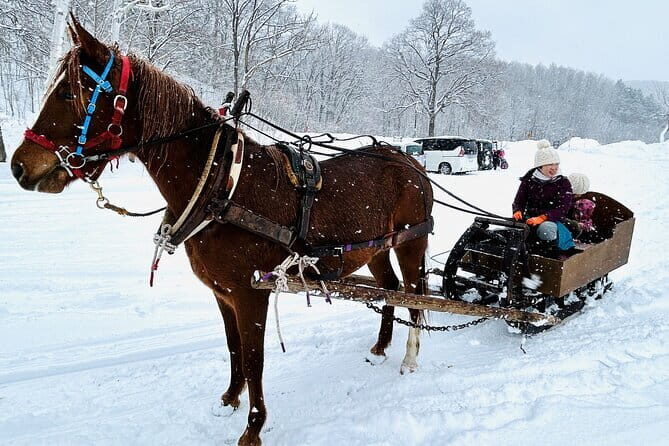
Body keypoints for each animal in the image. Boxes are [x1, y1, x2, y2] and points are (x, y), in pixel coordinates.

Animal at [10, 18, 433, 446]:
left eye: (68, 92)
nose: (17, 166)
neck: (220, 186)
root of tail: (411, 162)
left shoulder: (251, 293)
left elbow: (254, 358)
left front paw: (253, 426)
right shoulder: (223, 292)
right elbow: (234, 349)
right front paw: (230, 398)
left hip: (412, 241)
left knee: (415, 295)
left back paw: (411, 357)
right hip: (377, 248)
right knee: (391, 289)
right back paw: (381, 345)